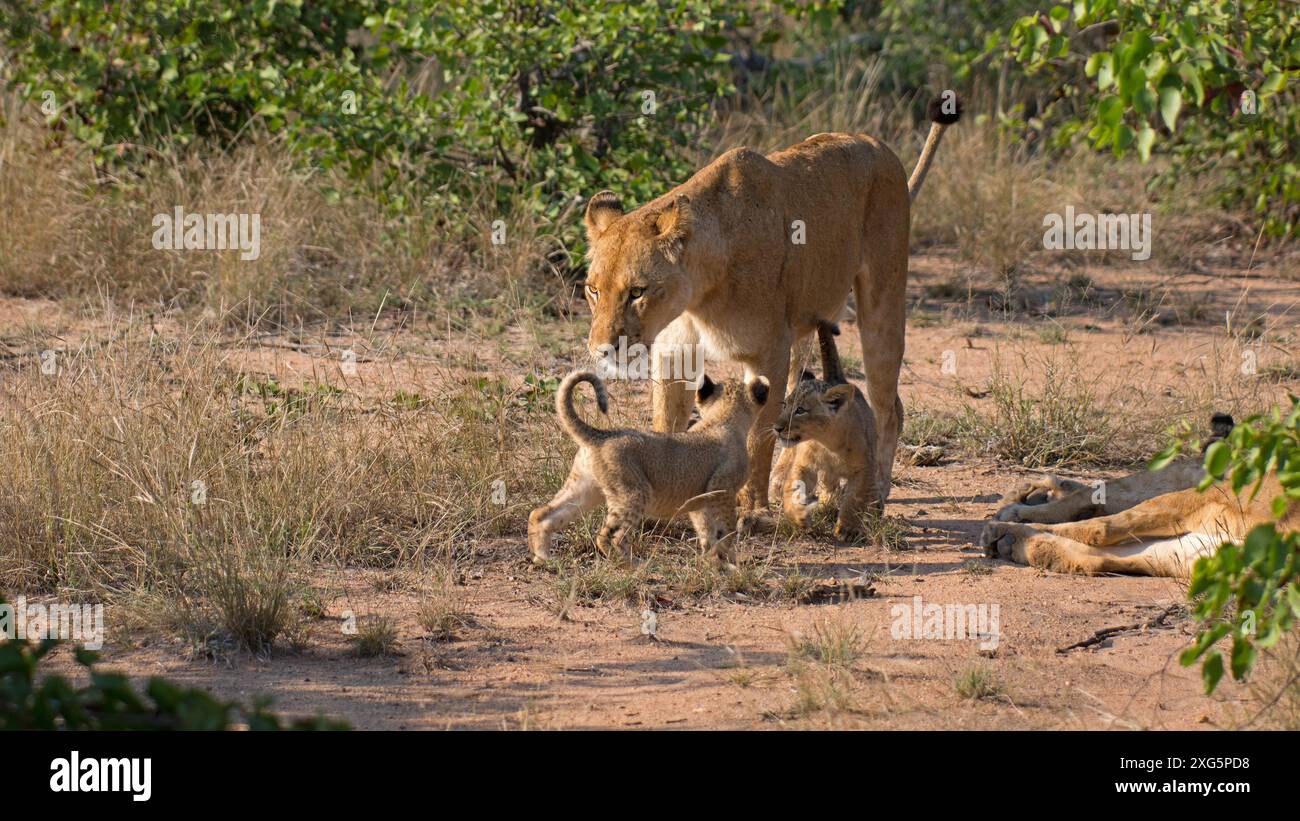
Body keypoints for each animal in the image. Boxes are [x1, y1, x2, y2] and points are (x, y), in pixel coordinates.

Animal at [527, 369, 769, 567]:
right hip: (634, 492)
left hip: (585, 489)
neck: (723, 419)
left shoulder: (700, 500)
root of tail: (600, 435)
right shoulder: (722, 489)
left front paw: (712, 561)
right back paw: (632, 565)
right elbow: (727, 530)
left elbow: (707, 531)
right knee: (609, 536)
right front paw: (729, 562)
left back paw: (543, 557)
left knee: (542, 513)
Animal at [770, 320, 884, 539]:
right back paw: (826, 503)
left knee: (869, 489)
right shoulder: (803, 465)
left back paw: (874, 508)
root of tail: (838, 380)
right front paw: (799, 516)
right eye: (784, 405)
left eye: (800, 410)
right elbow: (794, 487)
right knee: (829, 483)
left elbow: (854, 498)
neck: (827, 443)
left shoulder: (863, 468)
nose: (777, 428)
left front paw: (847, 529)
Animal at [979, 414, 1300, 577]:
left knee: (1101, 534)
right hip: (1208, 540)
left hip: (1207, 515)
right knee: (1106, 544)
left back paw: (1009, 532)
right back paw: (1016, 534)